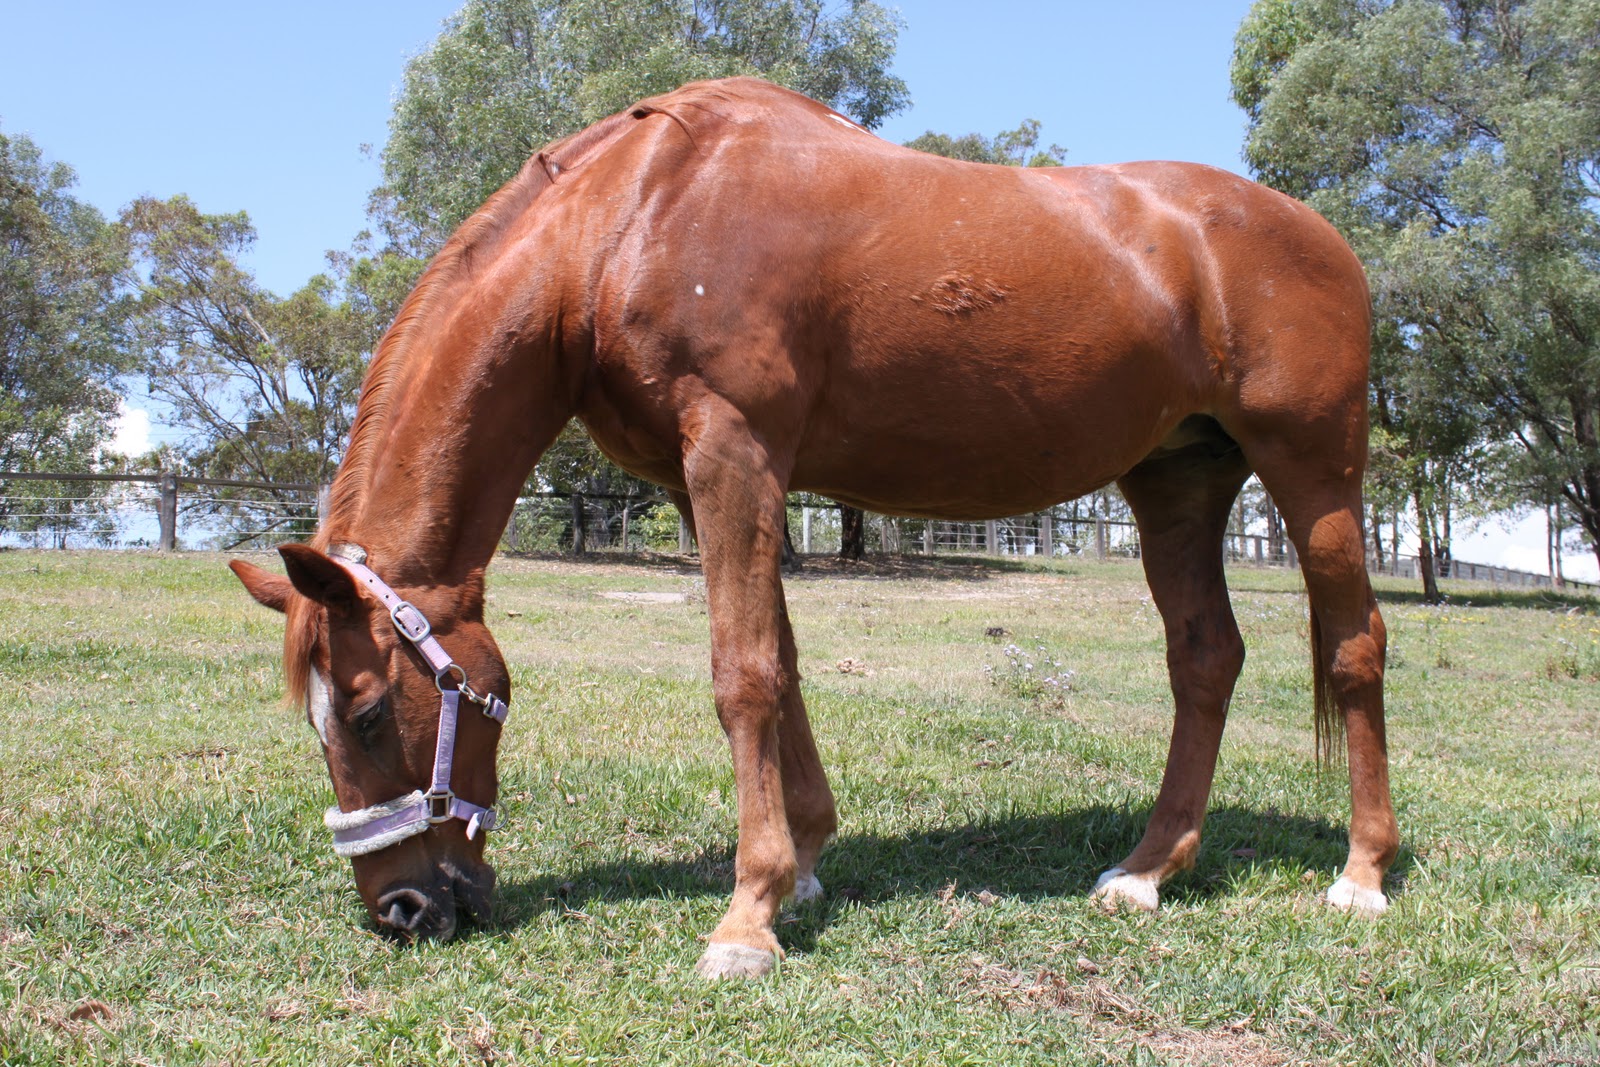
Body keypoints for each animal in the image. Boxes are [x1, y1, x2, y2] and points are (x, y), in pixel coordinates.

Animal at [230, 77, 1396, 979]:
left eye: (367, 713)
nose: (400, 909)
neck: (628, 222)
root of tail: (1325, 237)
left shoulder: (733, 452)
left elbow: (741, 672)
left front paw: (746, 918)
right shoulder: (724, 476)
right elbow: (780, 662)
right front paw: (802, 862)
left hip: (1316, 478)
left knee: (1354, 648)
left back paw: (1361, 872)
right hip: (1178, 482)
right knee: (1205, 656)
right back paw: (1149, 868)